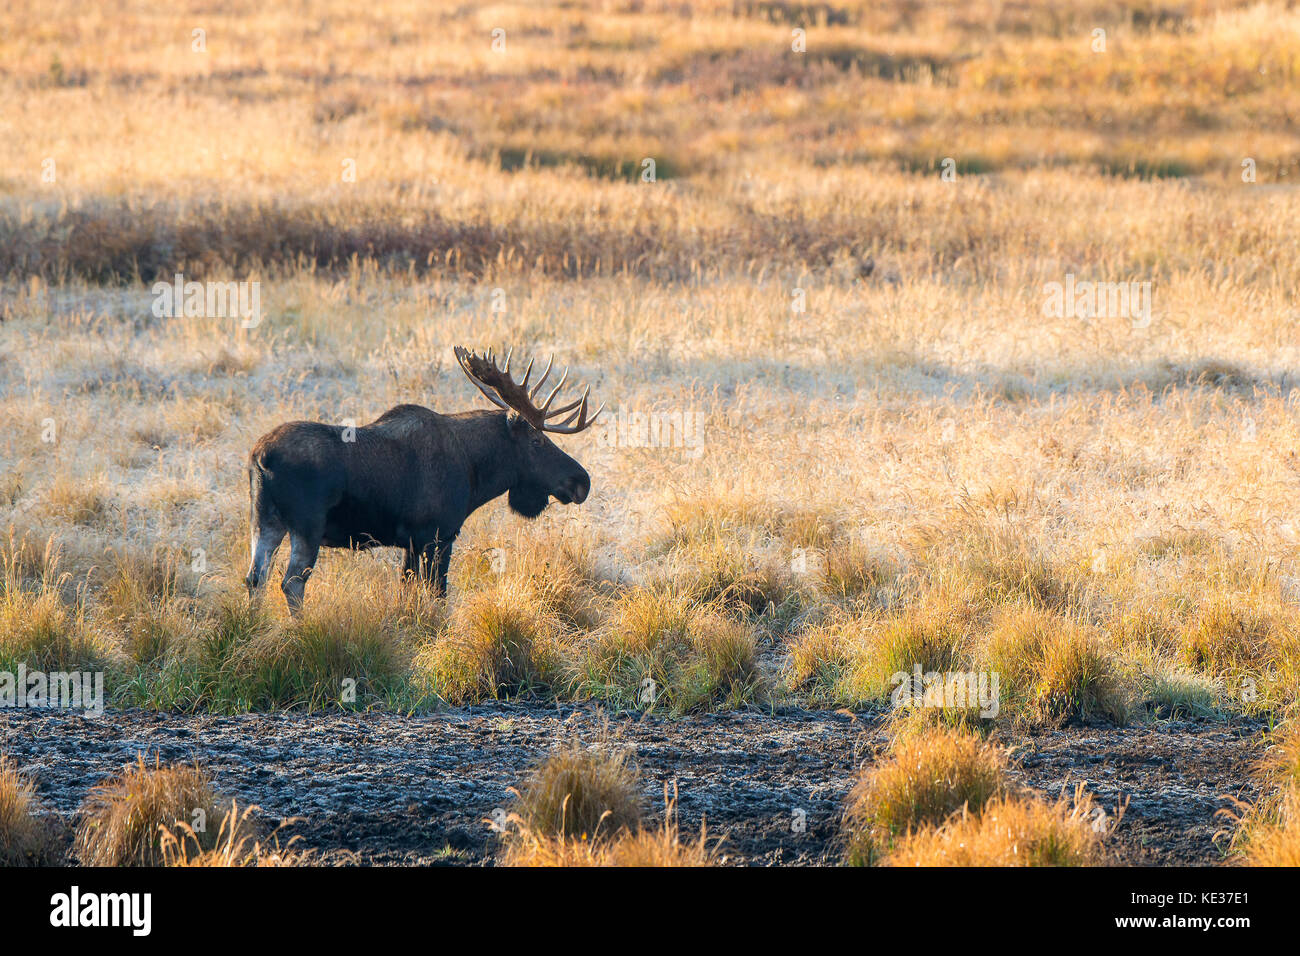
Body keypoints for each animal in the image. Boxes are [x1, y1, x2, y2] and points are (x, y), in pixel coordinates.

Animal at [243, 346, 604, 612]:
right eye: (537, 441)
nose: (581, 481)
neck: (476, 473)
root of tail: (259, 457)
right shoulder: (438, 535)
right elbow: (438, 594)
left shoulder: (412, 542)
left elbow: (407, 587)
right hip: (307, 526)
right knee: (292, 582)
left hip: (265, 521)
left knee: (255, 579)